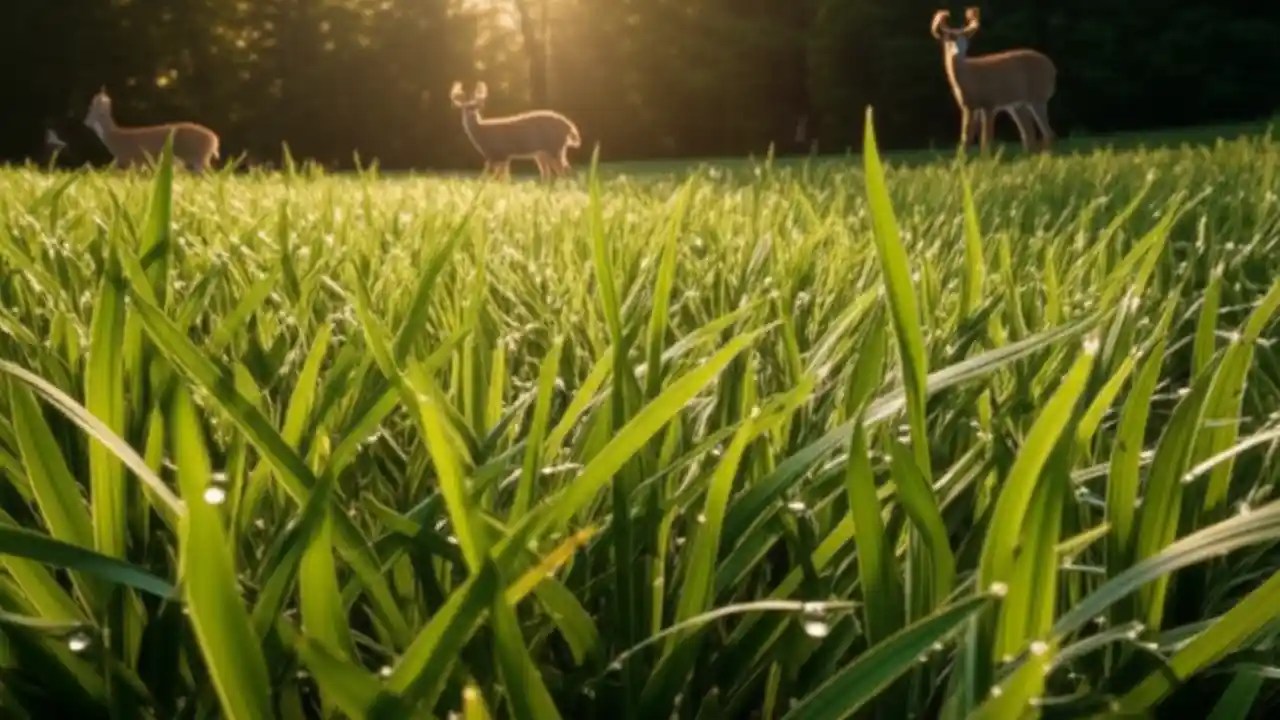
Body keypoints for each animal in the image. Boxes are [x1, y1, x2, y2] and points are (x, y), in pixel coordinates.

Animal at [83, 88, 221, 173]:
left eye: (90, 112)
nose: (85, 122)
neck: (112, 138)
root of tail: (214, 139)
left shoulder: (126, 156)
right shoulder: (134, 160)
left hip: (199, 156)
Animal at [450, 82, 581, 182]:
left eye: (477, 107)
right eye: (466, 107)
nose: (472, 114)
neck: (482, 132)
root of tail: (569, 125)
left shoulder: (500, 154)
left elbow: (499, 178)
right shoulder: (497, 156)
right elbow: (500, 178)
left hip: (554, 147)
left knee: (563, 170)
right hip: (543, 152)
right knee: (548, 173)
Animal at [931, 8, 1057, 155]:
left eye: (965, 41)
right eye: (949, 40)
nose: (957, 53)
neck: (969, 79)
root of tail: (1052, 68)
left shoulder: (989, 102)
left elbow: (986, 139)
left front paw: (985, 158)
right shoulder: (968, 105)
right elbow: (966, 138)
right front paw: (963, 158)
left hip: (1038, 96)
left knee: (1047, 132)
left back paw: (1045, 156)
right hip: (1017, 104)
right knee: (1028, 134)